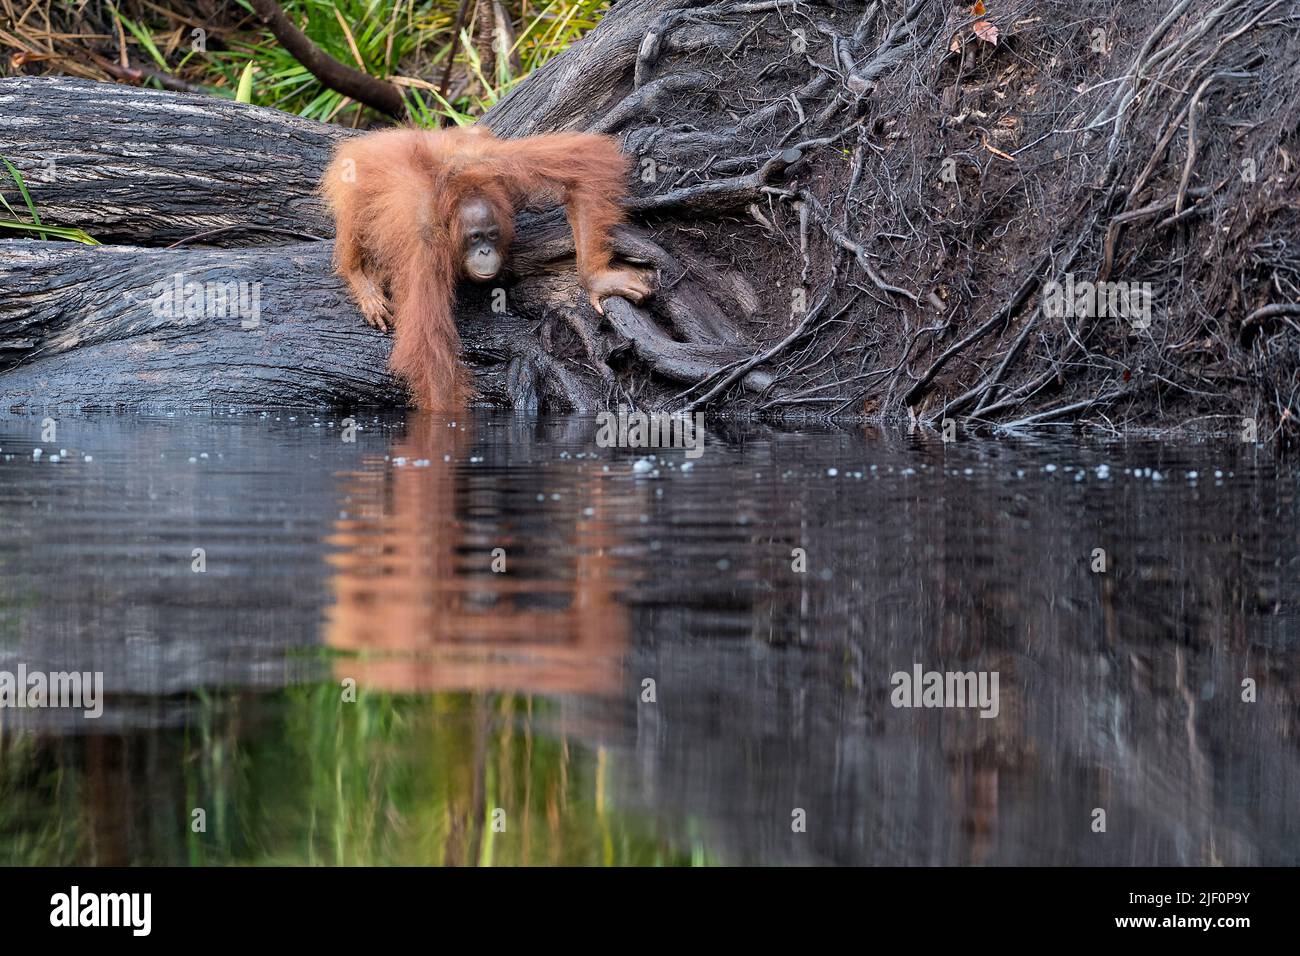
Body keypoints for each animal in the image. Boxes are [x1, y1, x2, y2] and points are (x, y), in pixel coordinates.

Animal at [321, 126, 653, 411]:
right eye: (474, 237)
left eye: (492, 235)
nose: (485, 252)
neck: (452, 195)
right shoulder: (425, 244)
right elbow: (427, 349)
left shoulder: (494, 165)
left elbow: (583, 162)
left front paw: (597, 280)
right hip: (351, 173)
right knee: (352, 219)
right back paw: (361, 278)